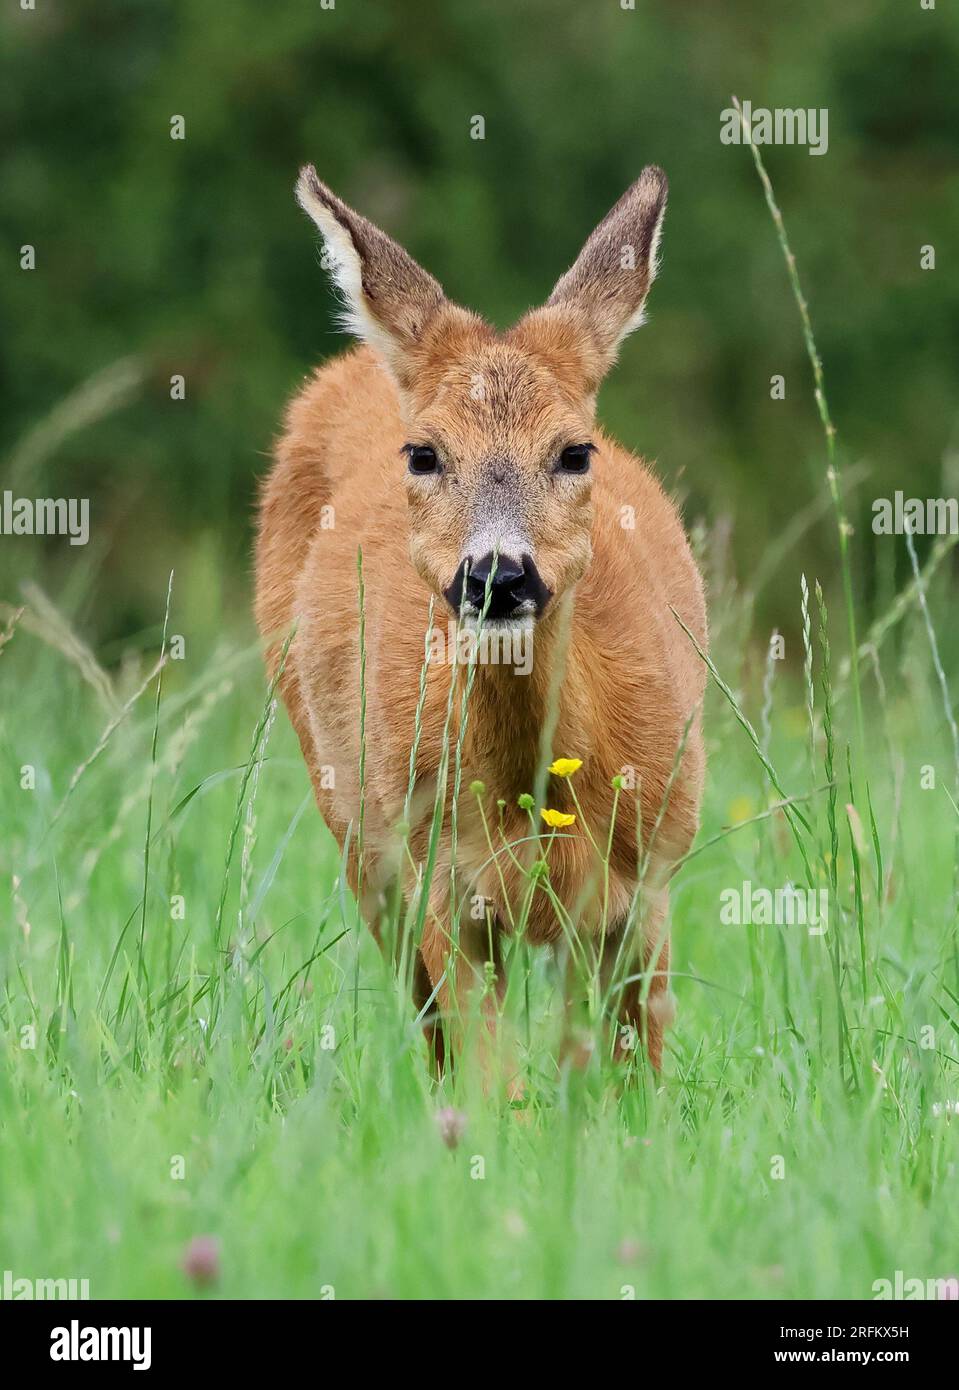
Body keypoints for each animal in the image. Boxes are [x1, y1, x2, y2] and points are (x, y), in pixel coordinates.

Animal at [254, 163, 707, 1088]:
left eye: (575, 451)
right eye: (423, 454)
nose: (497, 573)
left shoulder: (649, 879)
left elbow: (629, 1075)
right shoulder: (442, 883)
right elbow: (496, 1085)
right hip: (355, 825)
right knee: (427, 1027)